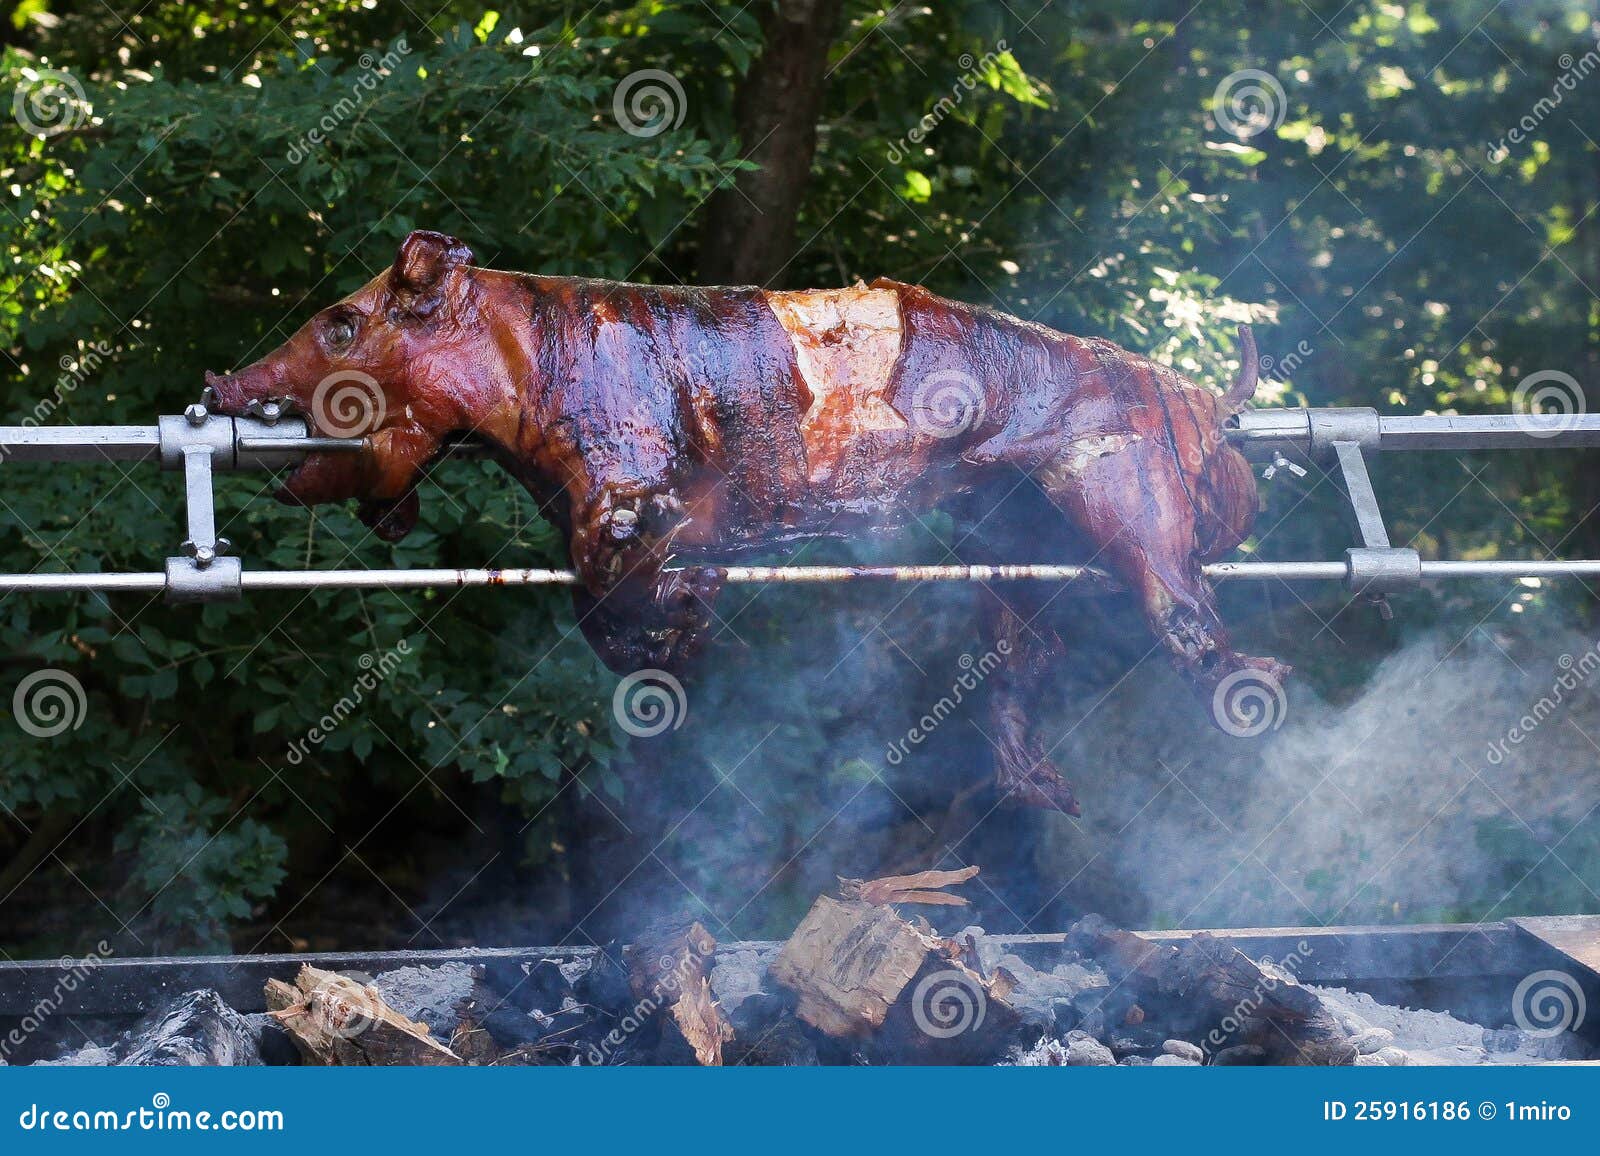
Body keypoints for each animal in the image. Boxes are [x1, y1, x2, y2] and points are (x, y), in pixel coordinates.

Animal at [205, 229, 1287, 814]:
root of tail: (1190, 395)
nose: (220, 384)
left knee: (1181, 612)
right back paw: (1041, 789)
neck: (531, 361)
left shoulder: (630, 490)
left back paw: (1255, 689)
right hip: (1002, 532)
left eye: (343, 324)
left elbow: (607, 586)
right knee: (1029, 654)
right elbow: (598, 602)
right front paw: (684, 629)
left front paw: (685, 626)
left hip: (1122, 493)